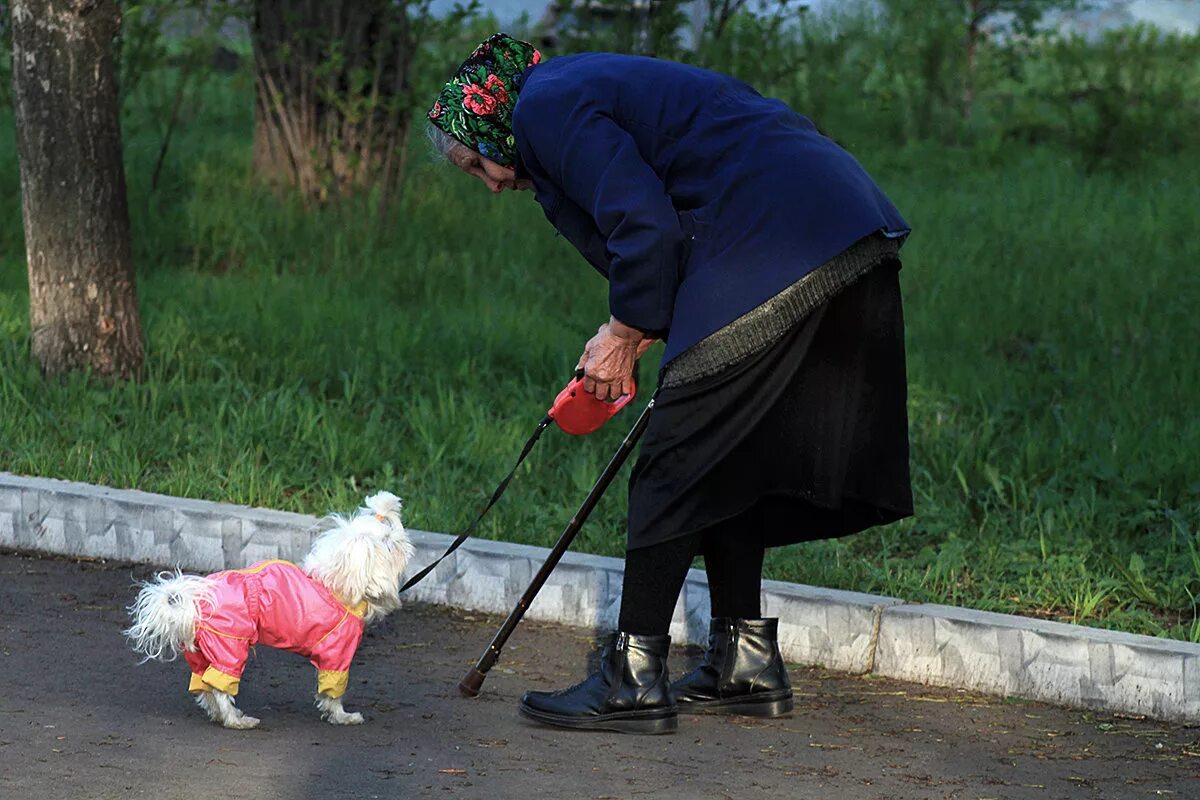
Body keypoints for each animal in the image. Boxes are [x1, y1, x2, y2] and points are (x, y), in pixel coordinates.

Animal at [122, 491, 412, 729]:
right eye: (388, 542)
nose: (402, 539)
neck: (334, 585)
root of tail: (193, 601)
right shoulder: (337, 653)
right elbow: (333, 689)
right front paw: (342, 716)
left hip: (203, 652)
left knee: (204, 685)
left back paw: (221, 714)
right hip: (230, 646)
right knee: (220, 687)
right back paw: (235, 720)